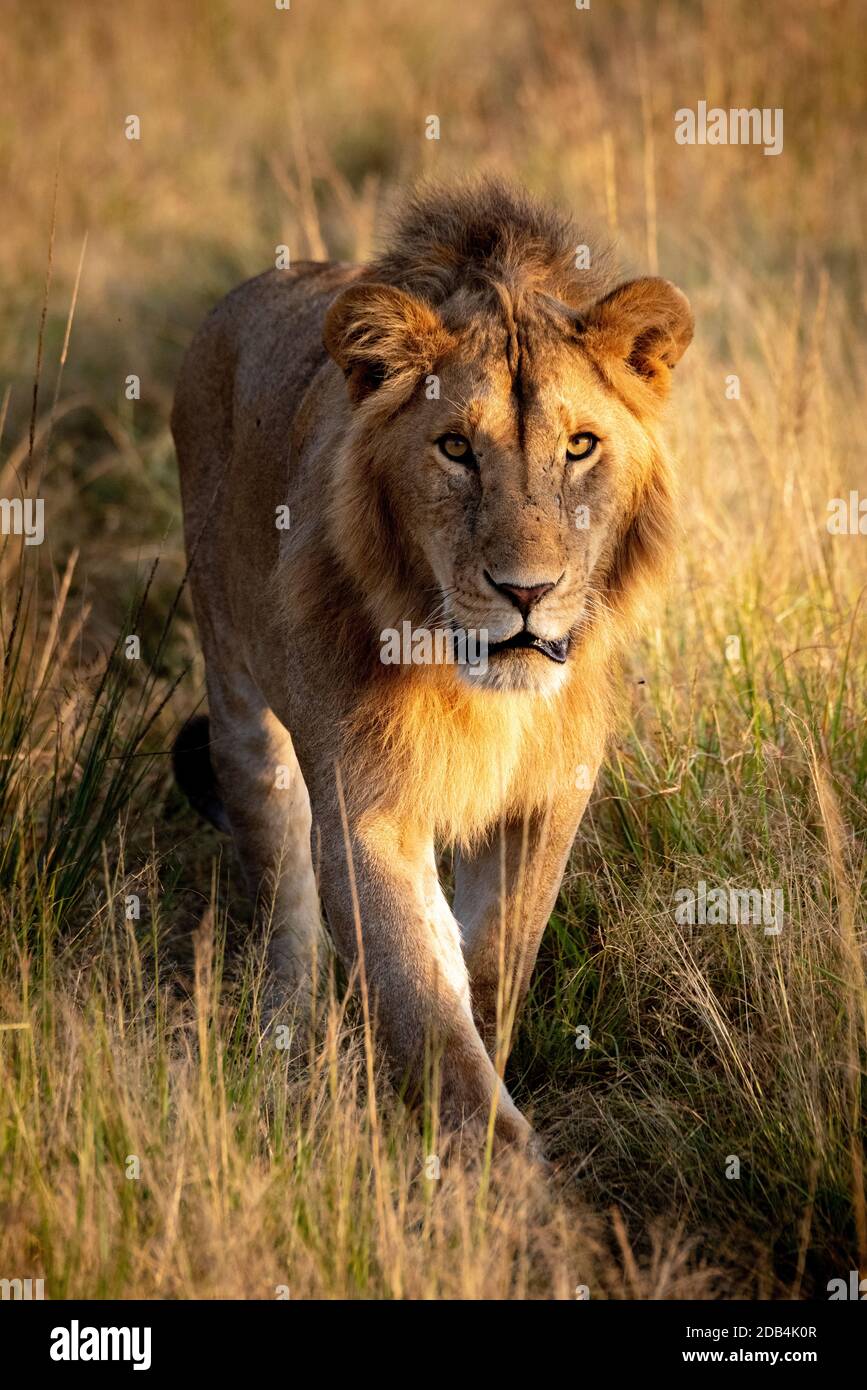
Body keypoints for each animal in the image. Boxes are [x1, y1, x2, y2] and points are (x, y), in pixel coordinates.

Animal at [171, 178, 693, 1151]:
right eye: (455, 448)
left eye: (579, 446)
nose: (526, 591)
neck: (479, 691)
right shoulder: (365, 806)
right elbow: (426, 1009)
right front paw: (506, 1178)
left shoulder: (550, 794)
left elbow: (487, 969)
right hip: (239, 705)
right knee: (284, 904)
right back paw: (281, 1046)